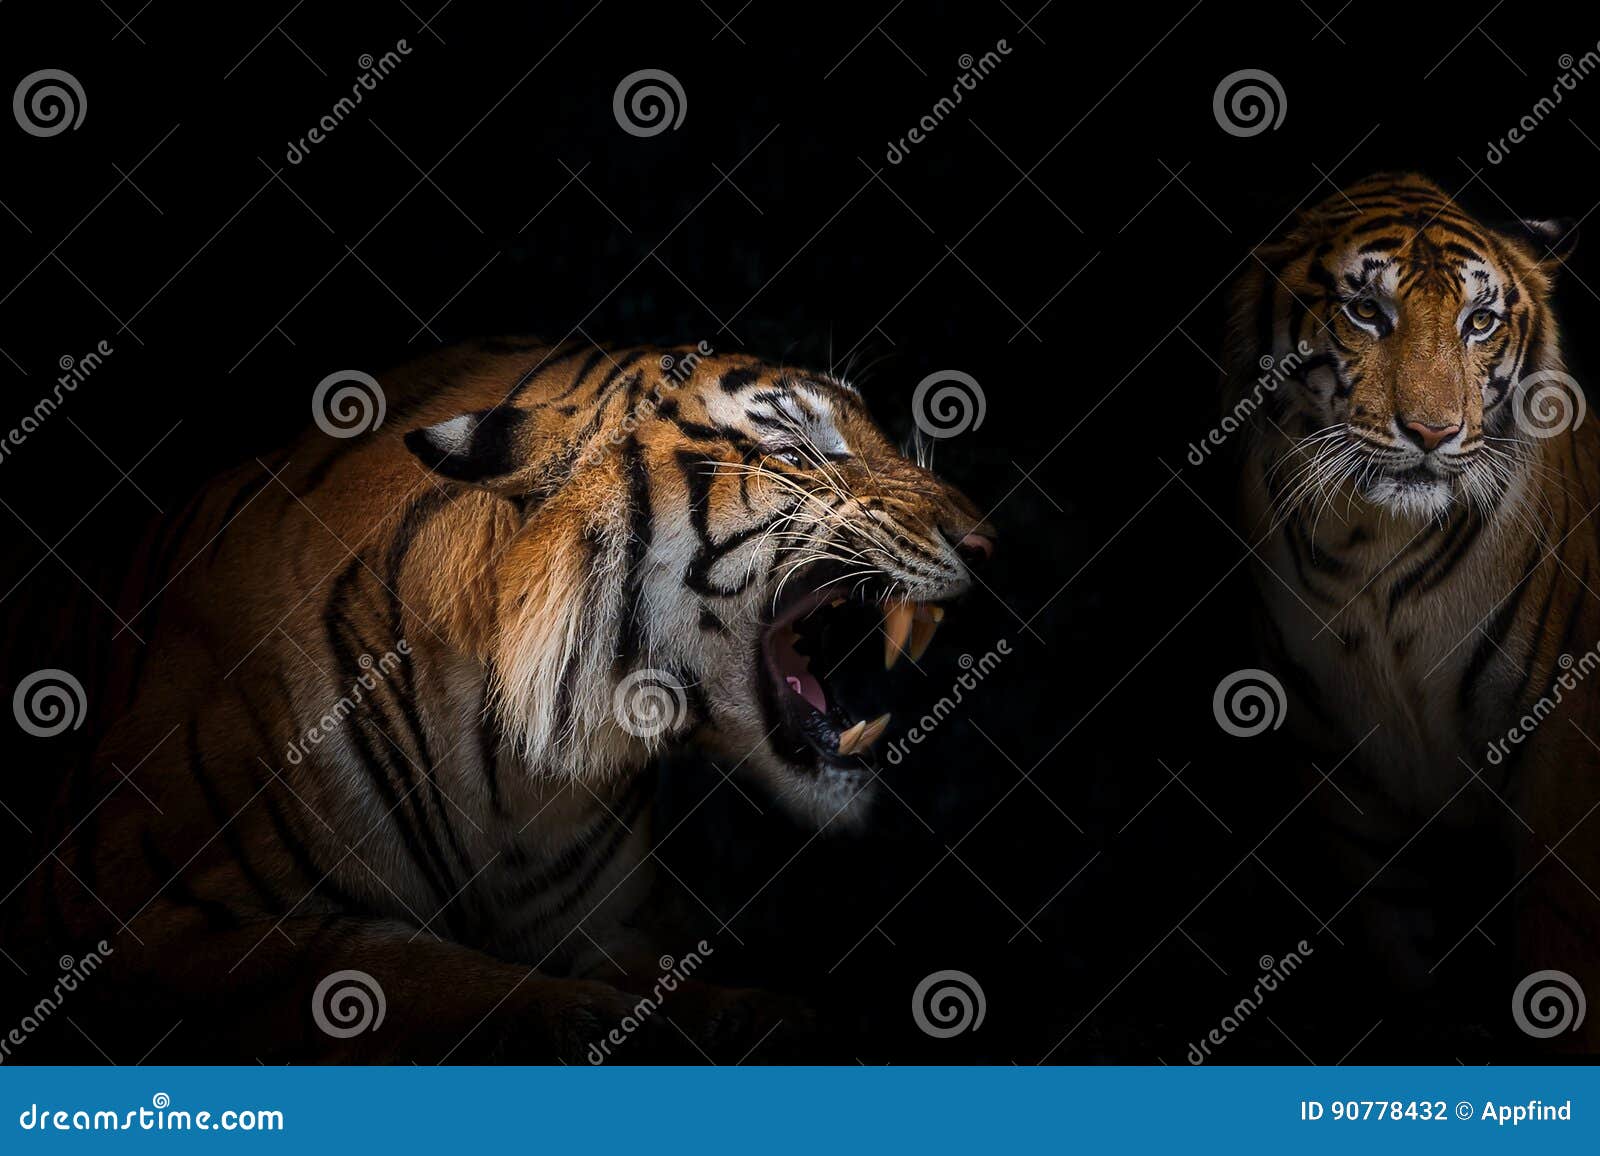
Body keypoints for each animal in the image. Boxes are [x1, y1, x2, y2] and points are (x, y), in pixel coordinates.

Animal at [4, 341, 994, 1062]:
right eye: (793, 450)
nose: (988, 543)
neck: (518, 771)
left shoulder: (614, 919)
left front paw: (768, 1014)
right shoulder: (134, 918)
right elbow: (385, 960)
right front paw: (564, 1015)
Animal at [1222, 172, 1600, 1050]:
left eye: (1480, 322)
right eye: (1367, 312)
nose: (1432, 432)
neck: (1373, 550)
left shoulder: (1561, 748)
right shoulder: (1348, 778)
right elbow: (1408, 965)